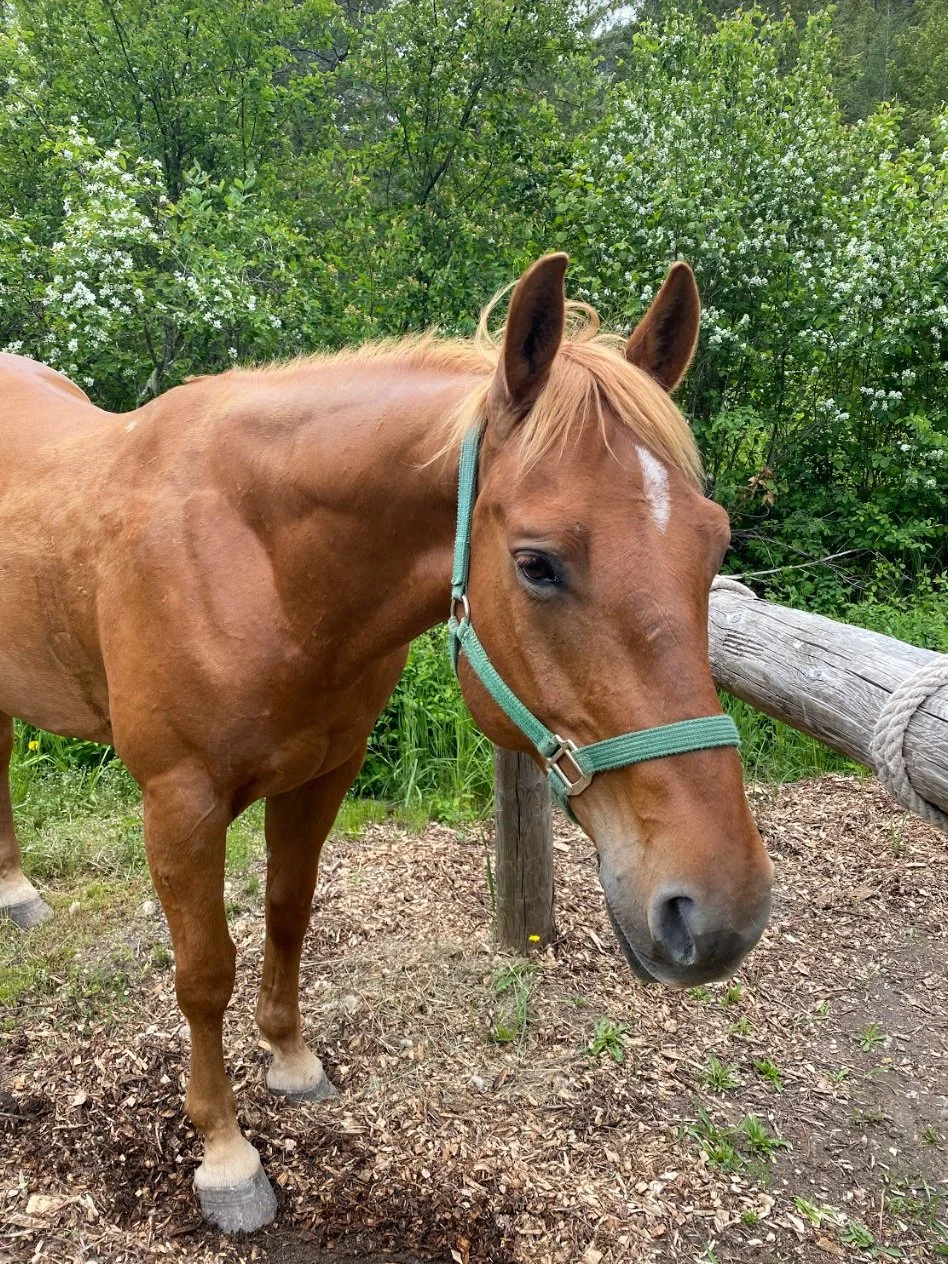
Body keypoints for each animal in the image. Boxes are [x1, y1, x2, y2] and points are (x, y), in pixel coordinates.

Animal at [0, 254, 773, 1232]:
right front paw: (226, 1155)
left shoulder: (322, 775)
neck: (257, 557)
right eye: (536, 563)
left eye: (713, 545)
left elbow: (289, 914)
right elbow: (204, 971)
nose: (719, 914)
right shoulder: (179, 804)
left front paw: (292, 1062)